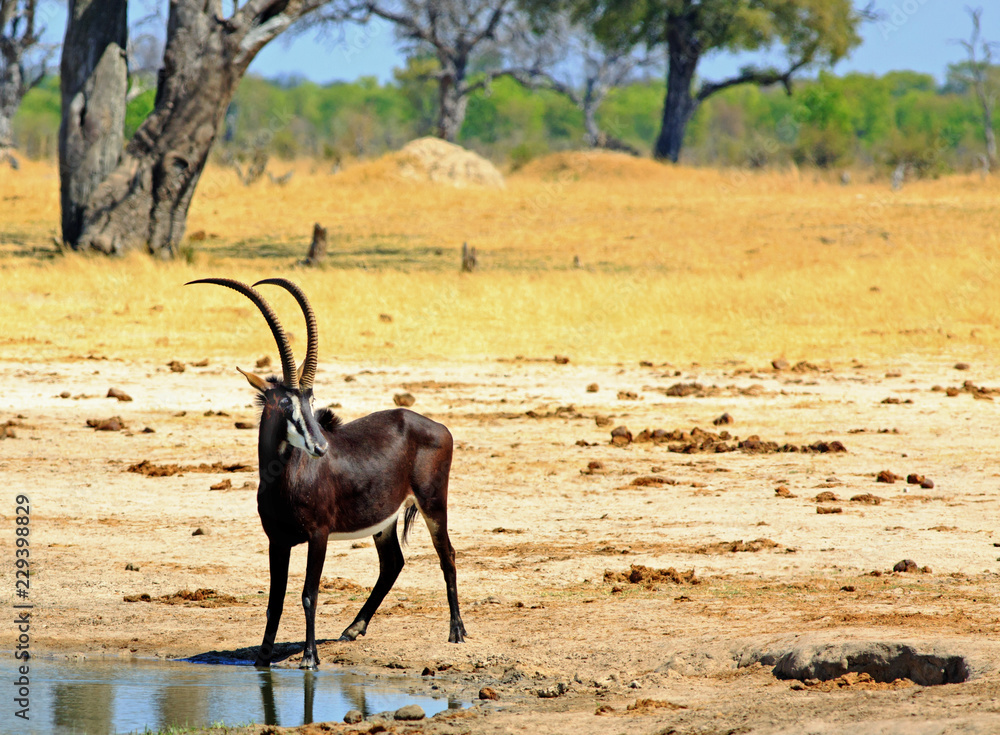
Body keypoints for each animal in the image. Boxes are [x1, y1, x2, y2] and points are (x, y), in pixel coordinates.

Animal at [186, 277, 465, 669]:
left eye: (311, 399)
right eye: (284, 401)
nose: (320, 446)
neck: (284, 480)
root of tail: (437, 427)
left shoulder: (318, 536)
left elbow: (309, 594)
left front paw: (309, 658)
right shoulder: (277, 540)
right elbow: (274, 602)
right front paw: (262, 660)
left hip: (432, 503)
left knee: (447, 555)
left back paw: (456, 632)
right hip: (384, 521)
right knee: (392, 563)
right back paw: (353, 628)